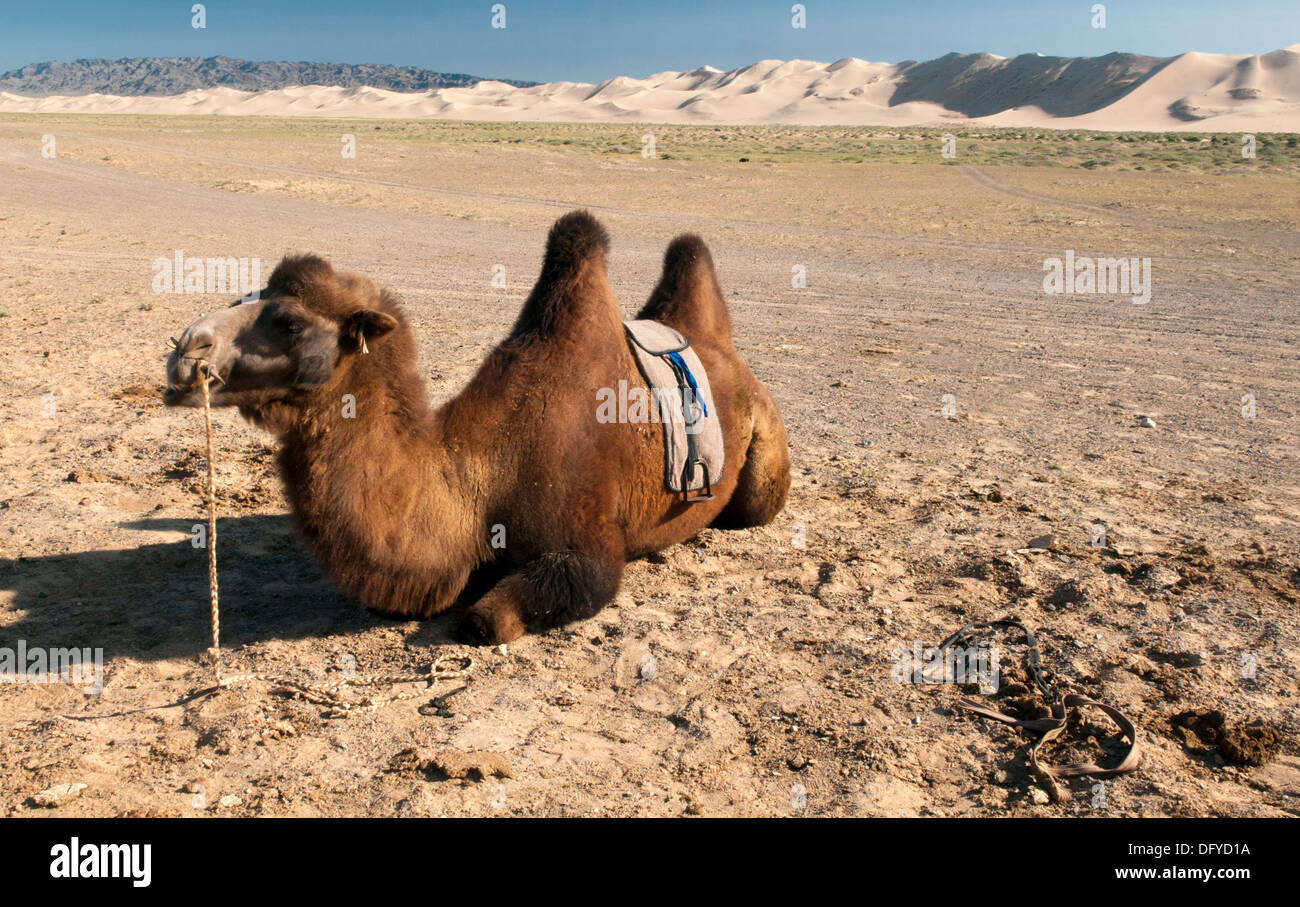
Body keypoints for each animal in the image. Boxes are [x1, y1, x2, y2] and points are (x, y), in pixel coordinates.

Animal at [163, 211, 790, 644]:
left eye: (290, 322)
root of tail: (725, 350)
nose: (185, 351)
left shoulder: (584, 547)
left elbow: (486, 621)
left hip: (766, 454)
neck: (482, 478)